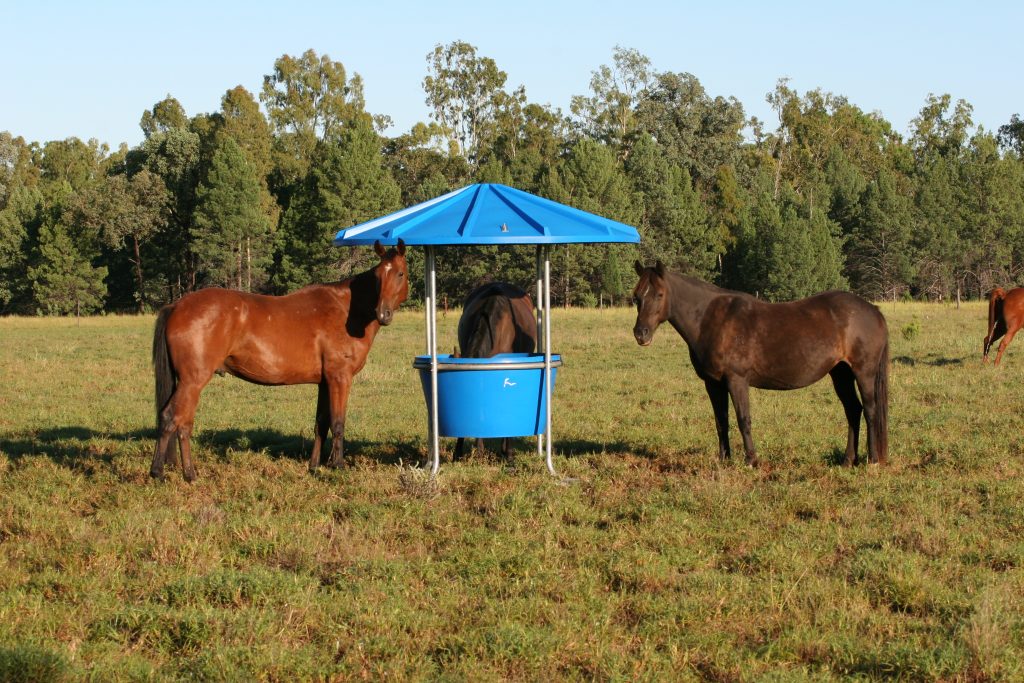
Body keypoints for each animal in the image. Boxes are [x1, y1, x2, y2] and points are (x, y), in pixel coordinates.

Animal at [150, 240, 408, 481]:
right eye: (377, 276)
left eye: (400, 273)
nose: (383, 314)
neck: (346, 311)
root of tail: (177, 305)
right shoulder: (339, 378)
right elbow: (338, 423)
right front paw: (338, 466)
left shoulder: (325, 382)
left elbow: (321, 423)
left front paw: (314, 466)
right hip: (192, 381)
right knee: (172, 418)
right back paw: (170, 473)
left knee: (182, 423)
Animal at [631, 261, 889, 467]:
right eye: (637, 296)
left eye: (660, 294)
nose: (640, 334)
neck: (711, 319)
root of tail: (873, 310)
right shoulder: (713, 384)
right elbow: (721, 421)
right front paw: (725, 460)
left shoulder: (737, 380)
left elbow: (743, 419)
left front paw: (751, 460)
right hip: (841, 373)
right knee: (853, 410)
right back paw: (848, 460)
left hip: (863, 373)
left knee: (870, 410)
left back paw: (873, 460)